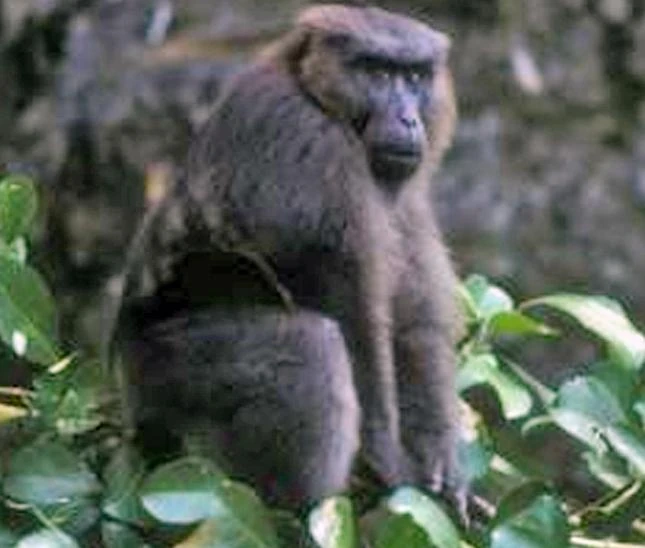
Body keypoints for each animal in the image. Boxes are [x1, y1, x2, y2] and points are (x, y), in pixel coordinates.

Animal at [108, 4, 463, 510]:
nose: (408, 119)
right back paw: (296, 510)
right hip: (165, 373)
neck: (311, 92)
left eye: (414, 76)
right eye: (376, 71)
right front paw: (387, 458)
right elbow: (349, 304)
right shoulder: (310, 141)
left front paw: (436, 452)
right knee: (312, 343)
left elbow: (412, 314)